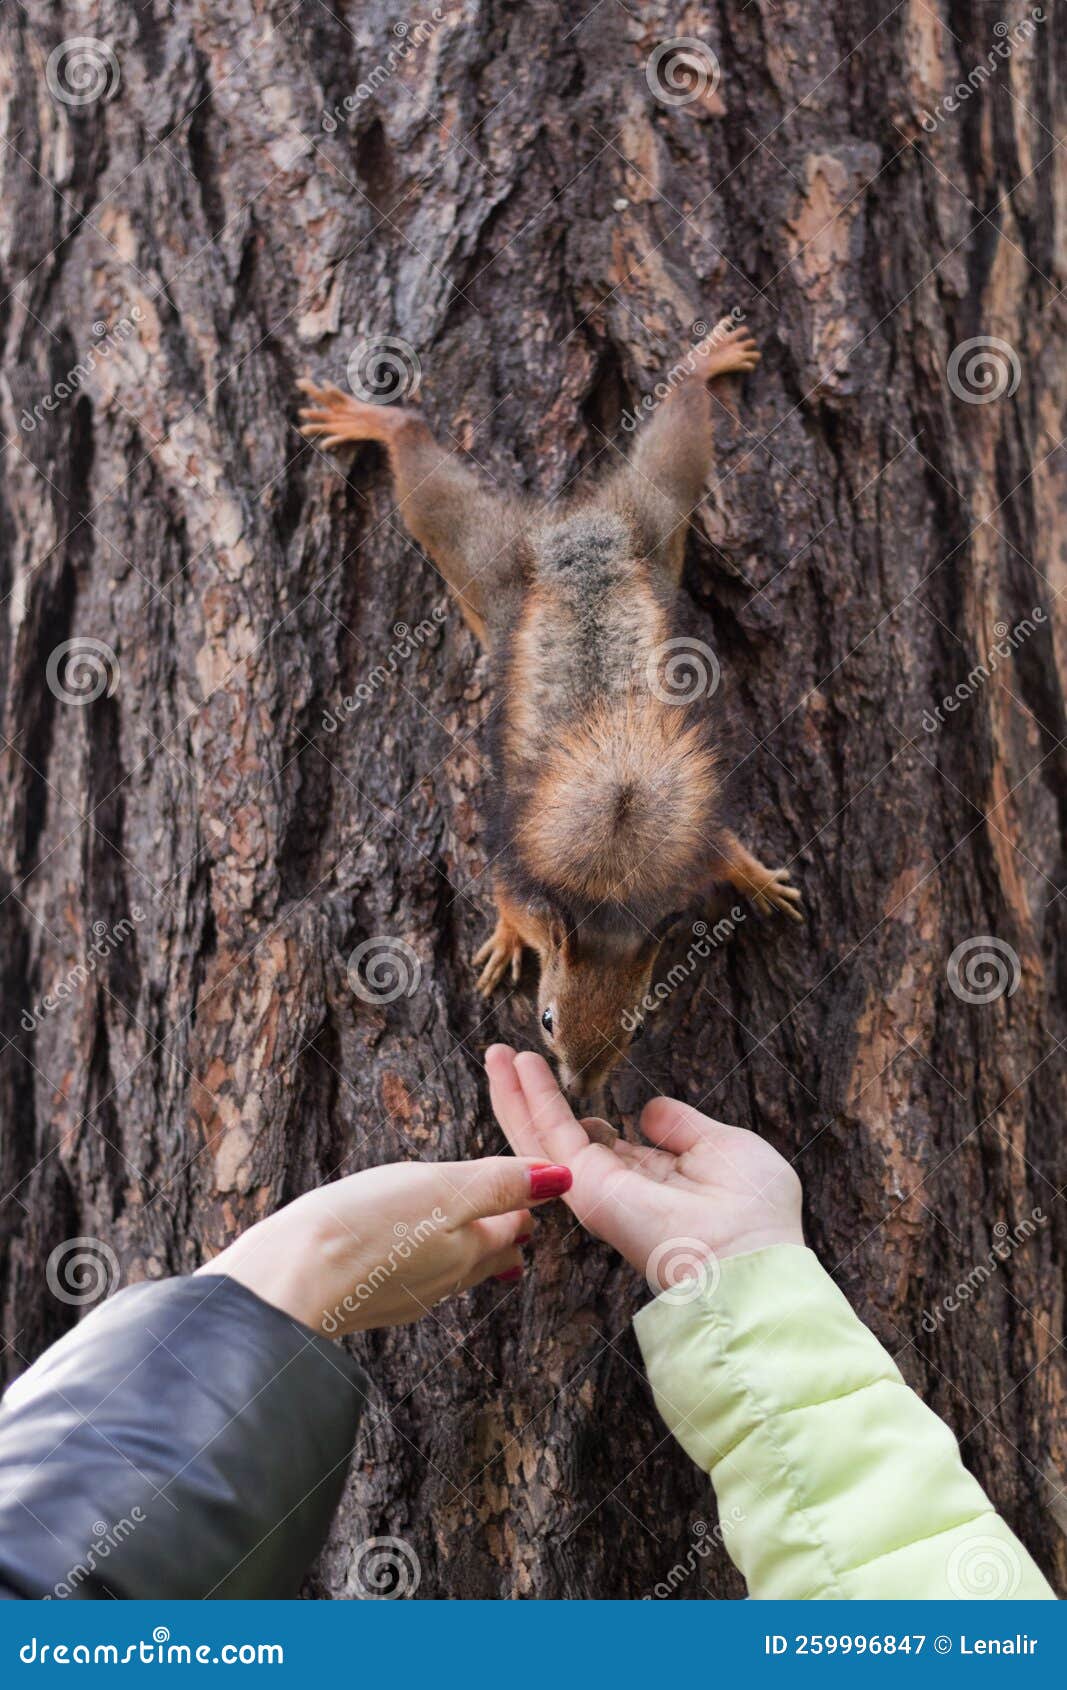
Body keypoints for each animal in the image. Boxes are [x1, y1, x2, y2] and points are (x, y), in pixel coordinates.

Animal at [299, 318, 802, 1101]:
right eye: (545, 1020)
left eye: (635, 1028)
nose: (576, 1094)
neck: (609, 899)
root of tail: (576, 545)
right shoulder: (530, 885)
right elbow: (508, 901)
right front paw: (506, 941)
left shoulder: (687, 857)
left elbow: (728, 850)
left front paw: (759, 881)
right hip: (498, 554)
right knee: (426, 474)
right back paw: (373, 421)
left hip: (648, 515)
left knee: (674, 434)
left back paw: (701, 362)